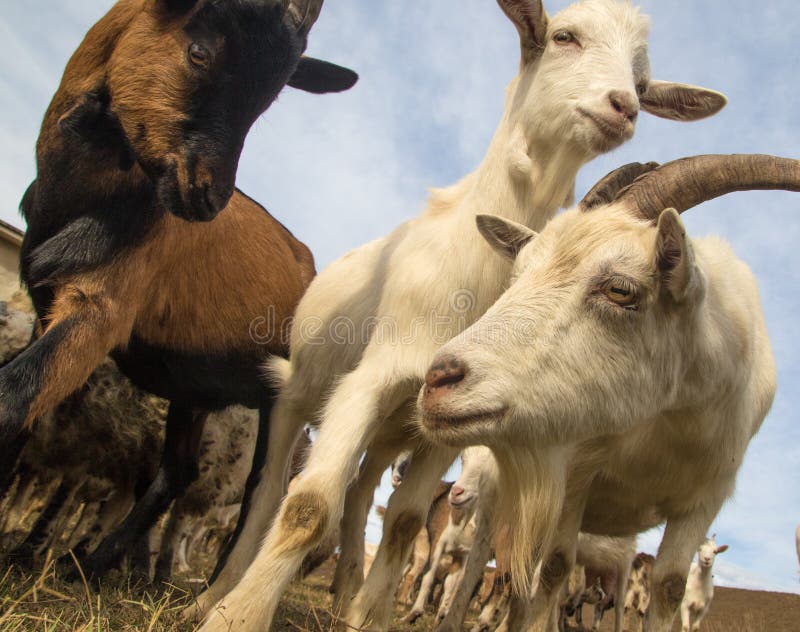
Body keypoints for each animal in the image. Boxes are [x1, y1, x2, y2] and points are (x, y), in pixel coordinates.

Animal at [1, 0, 356, 579]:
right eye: (200, 51)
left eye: (269, 96)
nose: (208, 195)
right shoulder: (45, 306)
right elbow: (23, 416)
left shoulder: (102, 309)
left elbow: (10, 399)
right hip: (196, 388)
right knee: (178, 471)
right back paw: (93, 567)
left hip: (279, 395)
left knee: (263, 488)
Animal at [196, 1, 726, 628]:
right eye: (563, 36)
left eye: (643, 83)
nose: (623, 106)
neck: (469, 268)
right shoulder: (368, 380)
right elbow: (307, 503)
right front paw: (236, 614)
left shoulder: (447, 422)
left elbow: (403, 520)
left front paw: (370, 615)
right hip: (301, 391)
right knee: (272, 484)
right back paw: (215, 589)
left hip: (395, 431)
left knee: (362, 493)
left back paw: (347, 590)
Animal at [419, 154, 800, 631]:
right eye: (517, 276)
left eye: (620, 289)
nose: (438, 379)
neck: (666, 423)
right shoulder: (572, 474)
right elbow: (555, 567)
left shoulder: (704, 498)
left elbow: (669, 586)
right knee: (482, 563)